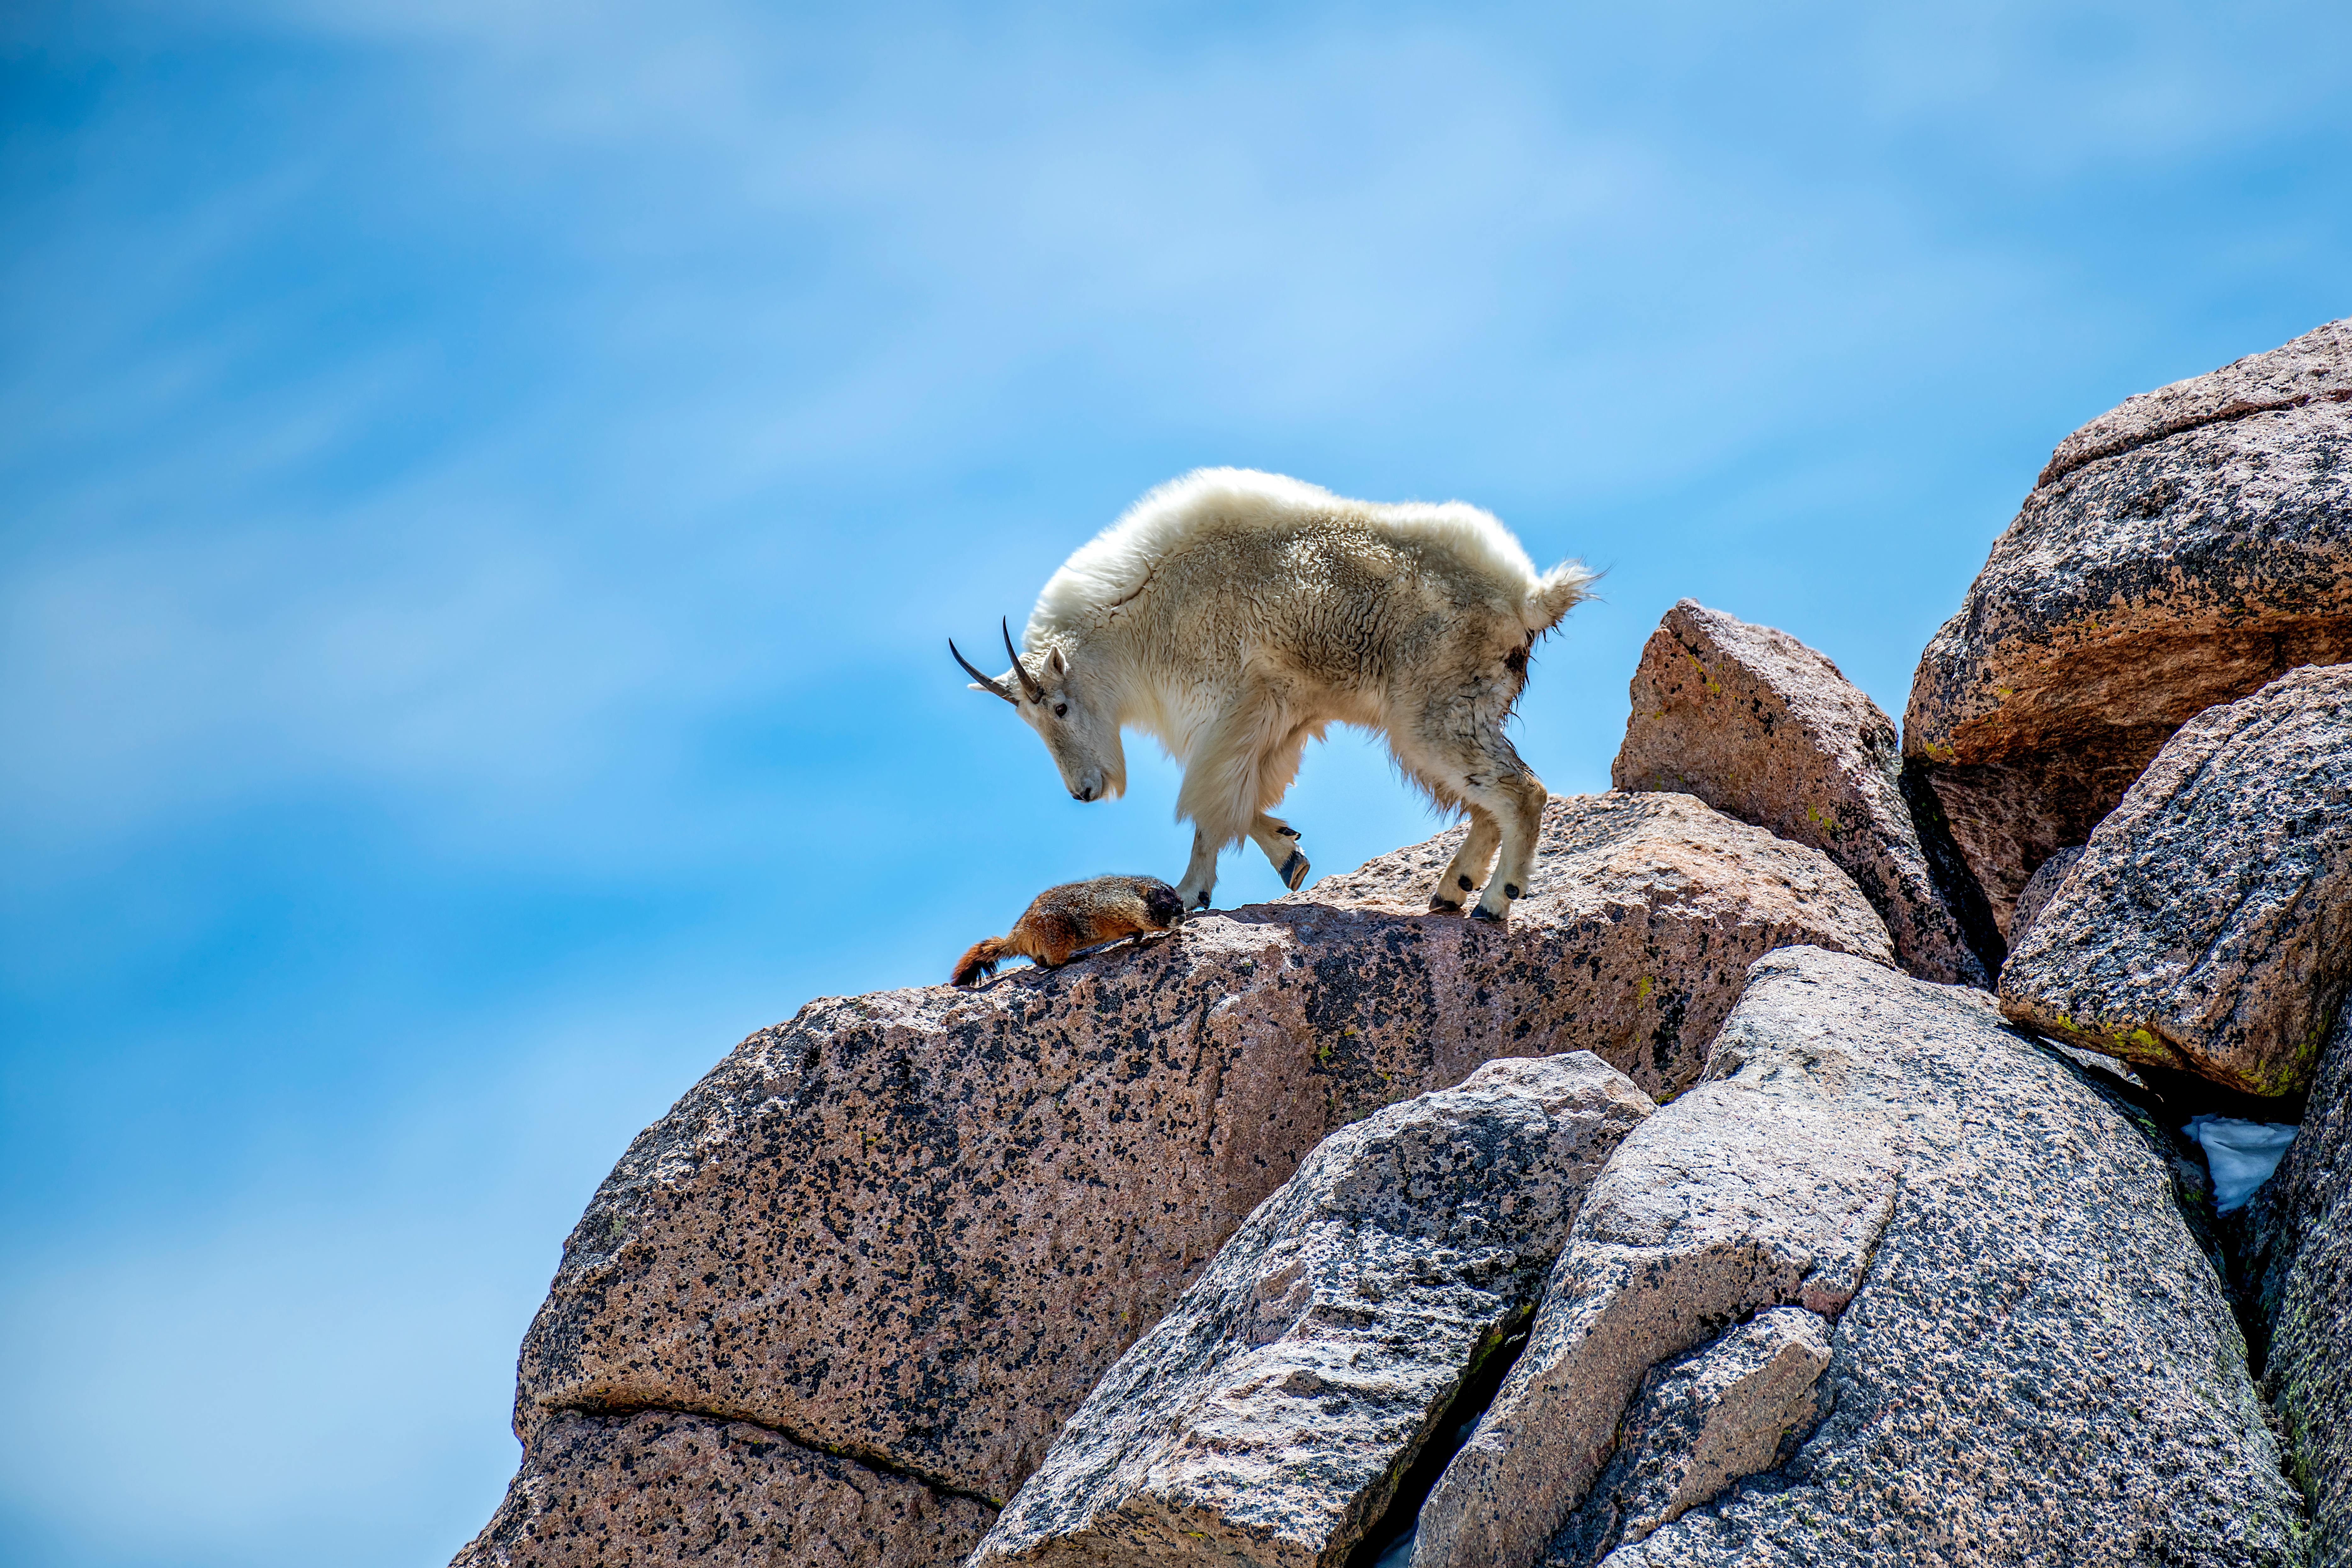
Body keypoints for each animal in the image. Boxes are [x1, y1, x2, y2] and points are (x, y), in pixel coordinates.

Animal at [951, 469, 1593, 920]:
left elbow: (1210, 804)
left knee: (1521, 792)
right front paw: (1291, 857)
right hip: (1444, 717)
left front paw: (1189, 893)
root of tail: (1528, 599)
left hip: (1435, 712)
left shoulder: (1226, 709)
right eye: (1032, 724)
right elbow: (1241, 798)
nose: (1084, 792)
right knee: (1488, 803)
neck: (1145, 613)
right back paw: (1448, 893)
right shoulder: (1280, 715)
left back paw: (1493, 902)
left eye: (1061, 707)